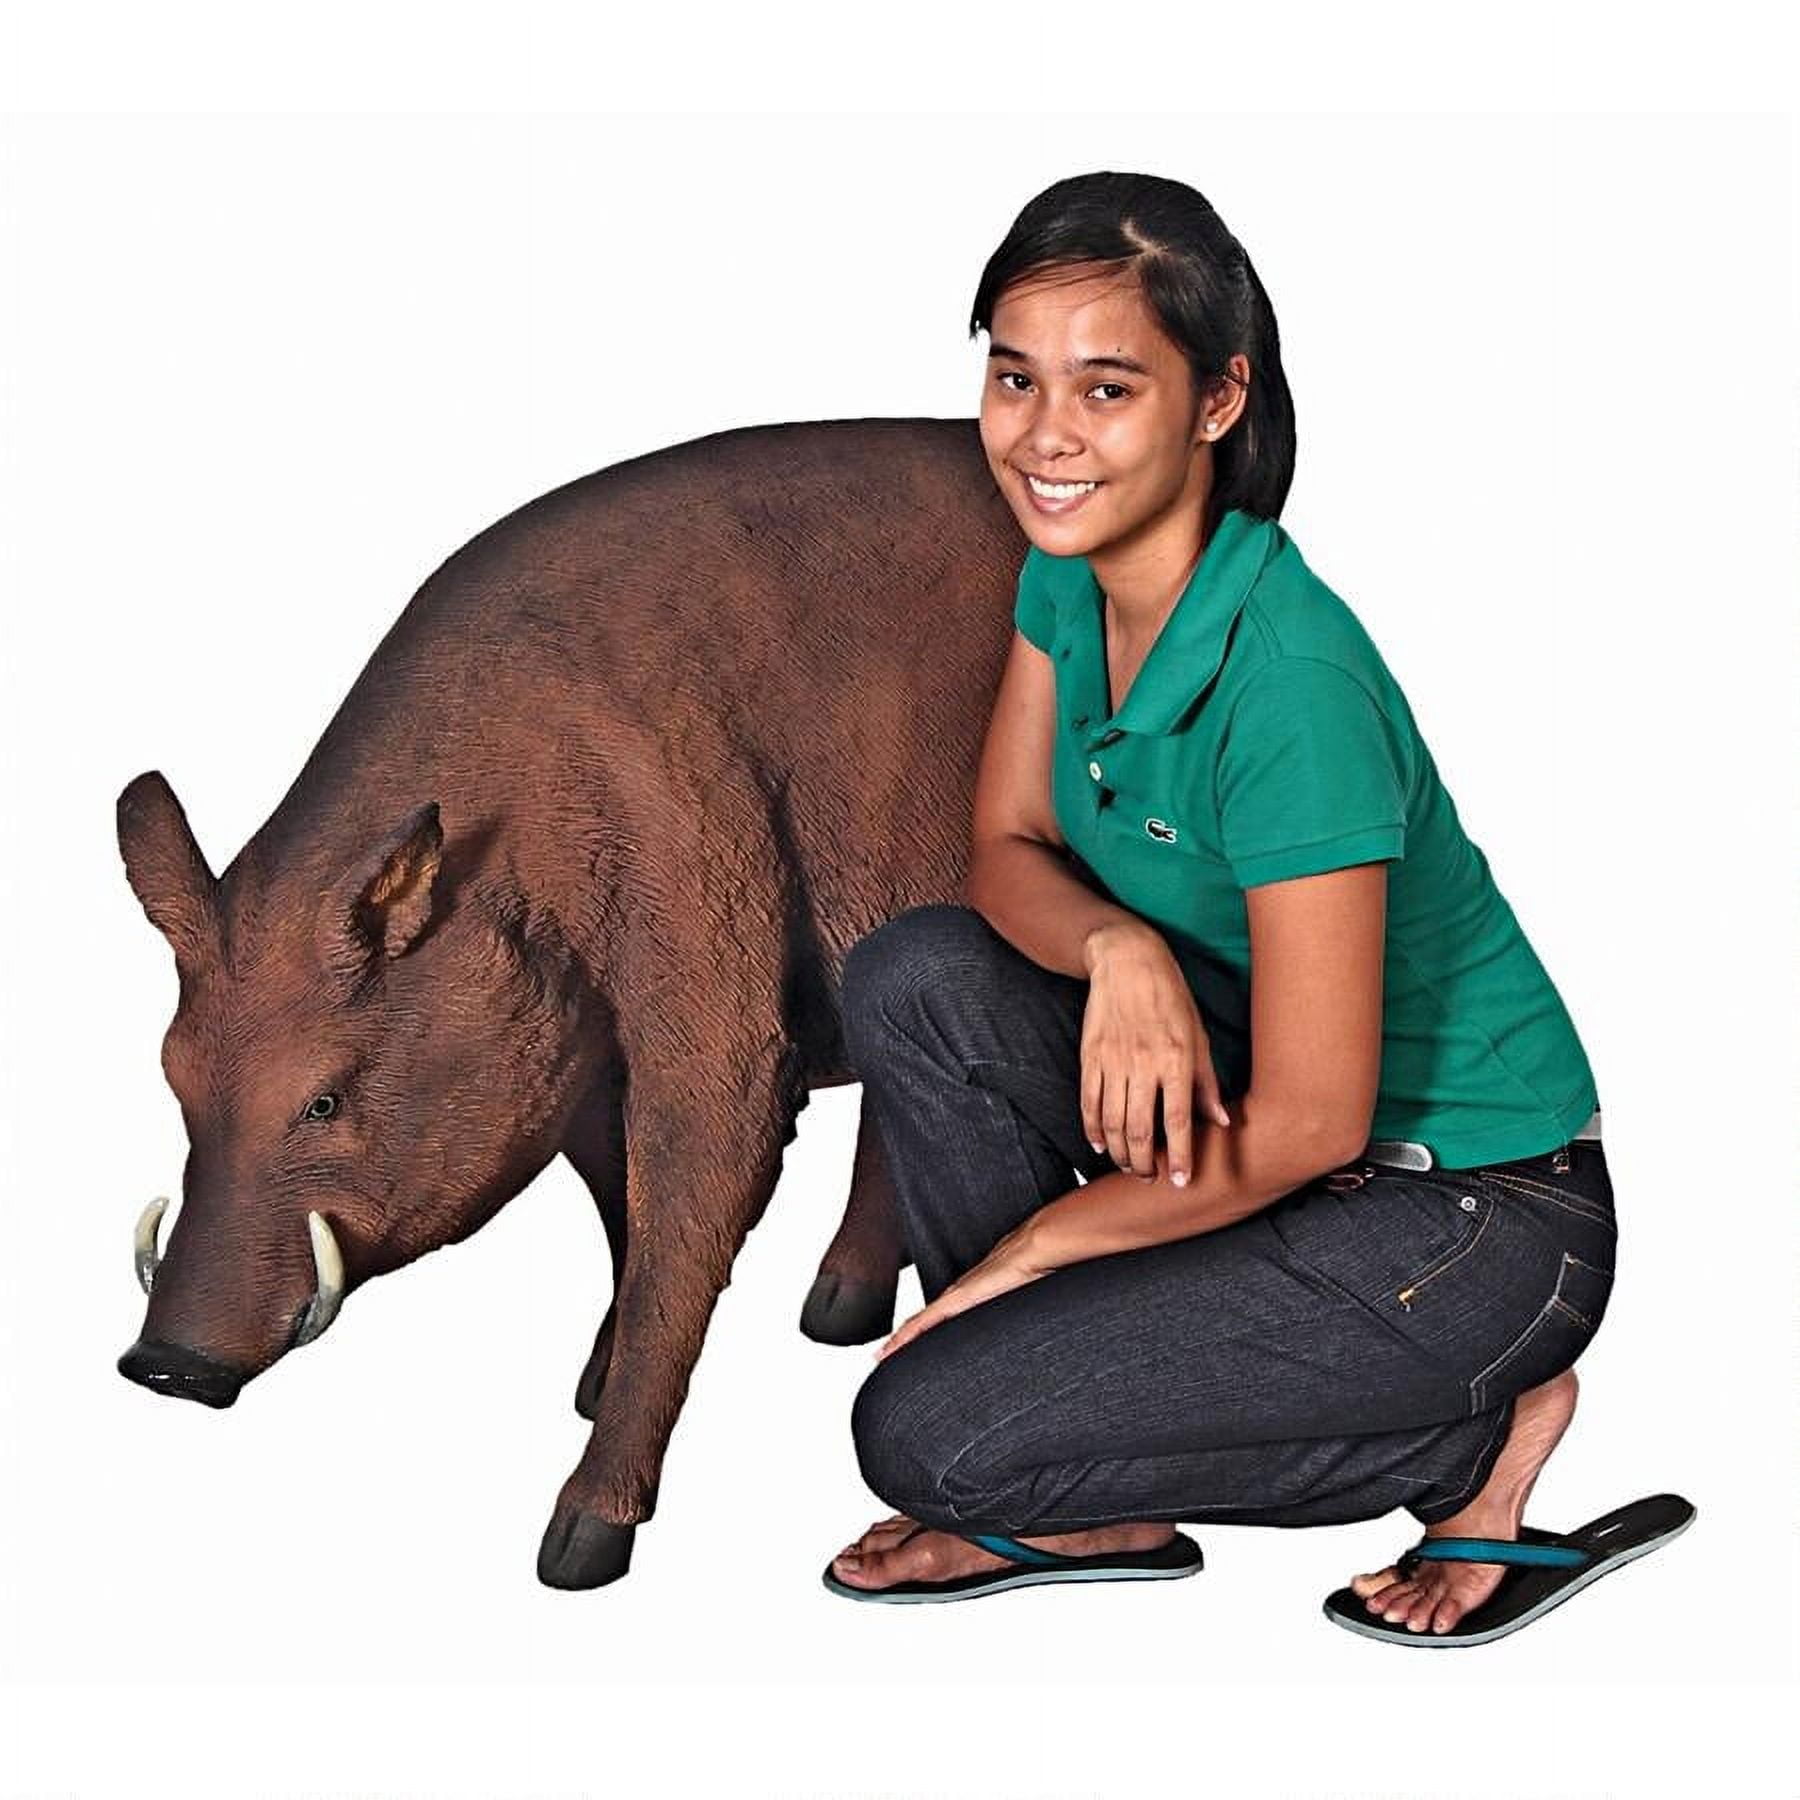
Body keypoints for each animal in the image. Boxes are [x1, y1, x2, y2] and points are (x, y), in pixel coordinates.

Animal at [114, 417, 1048, 1590]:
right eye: (173, 1077)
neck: (510, 857)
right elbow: (618, 1210)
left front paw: (577, 1548)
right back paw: (835, 1319)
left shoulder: (719, 1003)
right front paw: (589, 1384)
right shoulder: (580, 1067)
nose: (160, 1362)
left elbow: (682, 1225)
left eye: (323, 1099)